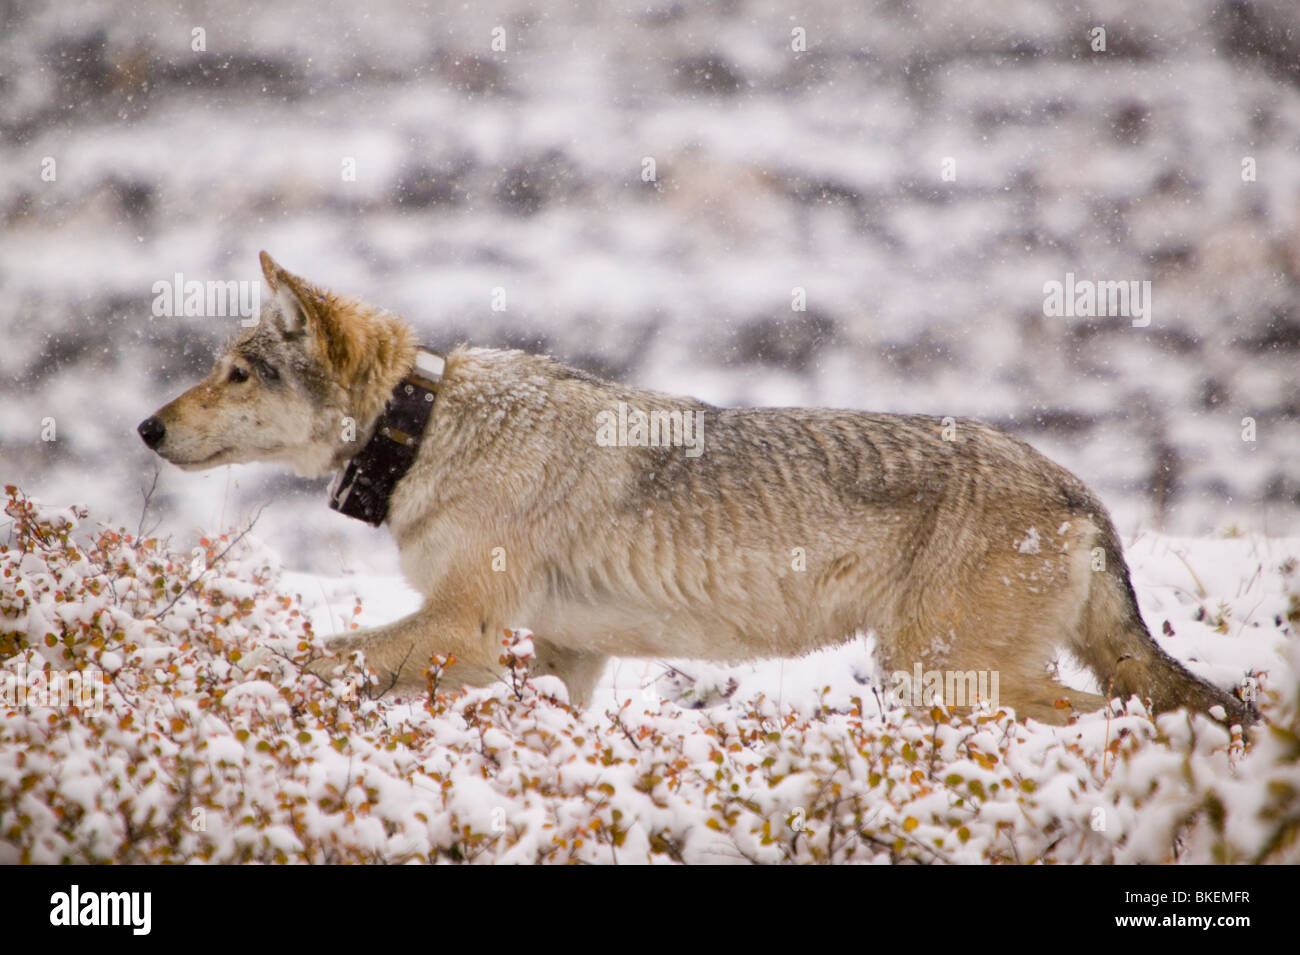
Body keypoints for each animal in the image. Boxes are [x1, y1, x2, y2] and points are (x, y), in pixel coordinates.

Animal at [139, 252, 1258, 722]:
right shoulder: (562, 654)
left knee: (1117, 716)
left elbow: (302, 653)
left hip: (941, 676)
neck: (428, 429)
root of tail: (1079, 487)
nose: (145, 428)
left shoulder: (459, 628)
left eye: (237, 373)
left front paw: (224, 681)